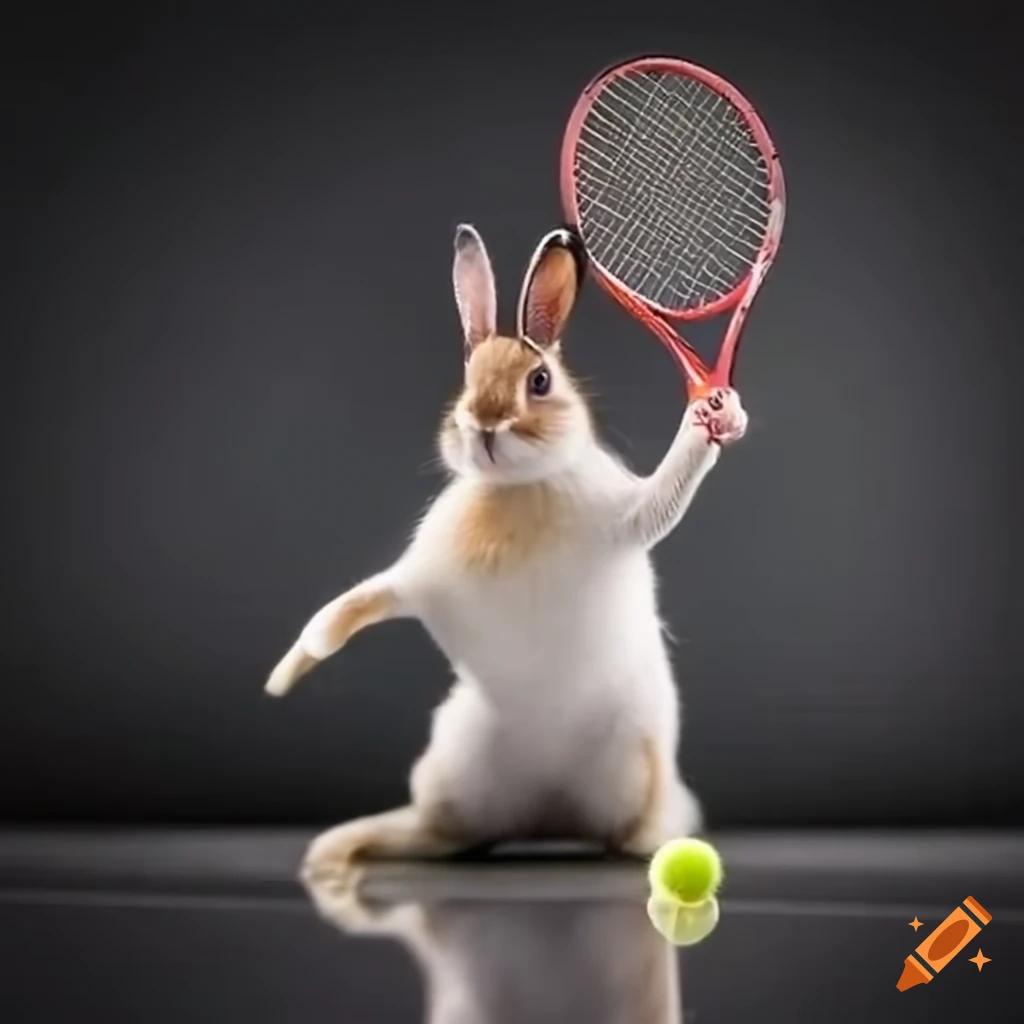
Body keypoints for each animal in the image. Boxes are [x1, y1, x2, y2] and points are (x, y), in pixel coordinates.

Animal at [265, 223, 748, 882]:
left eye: (539, 382)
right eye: (467, 381)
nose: (486, 424)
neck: (516, 489)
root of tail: (548, 815)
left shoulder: (626, 517)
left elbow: (665, 494)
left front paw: (715, 417)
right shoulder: (416, 579)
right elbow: (356, 603)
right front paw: (291, 670)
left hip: (637, 764)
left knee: (626, 834)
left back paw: (661, 849)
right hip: (453, 762)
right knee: (442, 834)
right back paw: (336, 857)